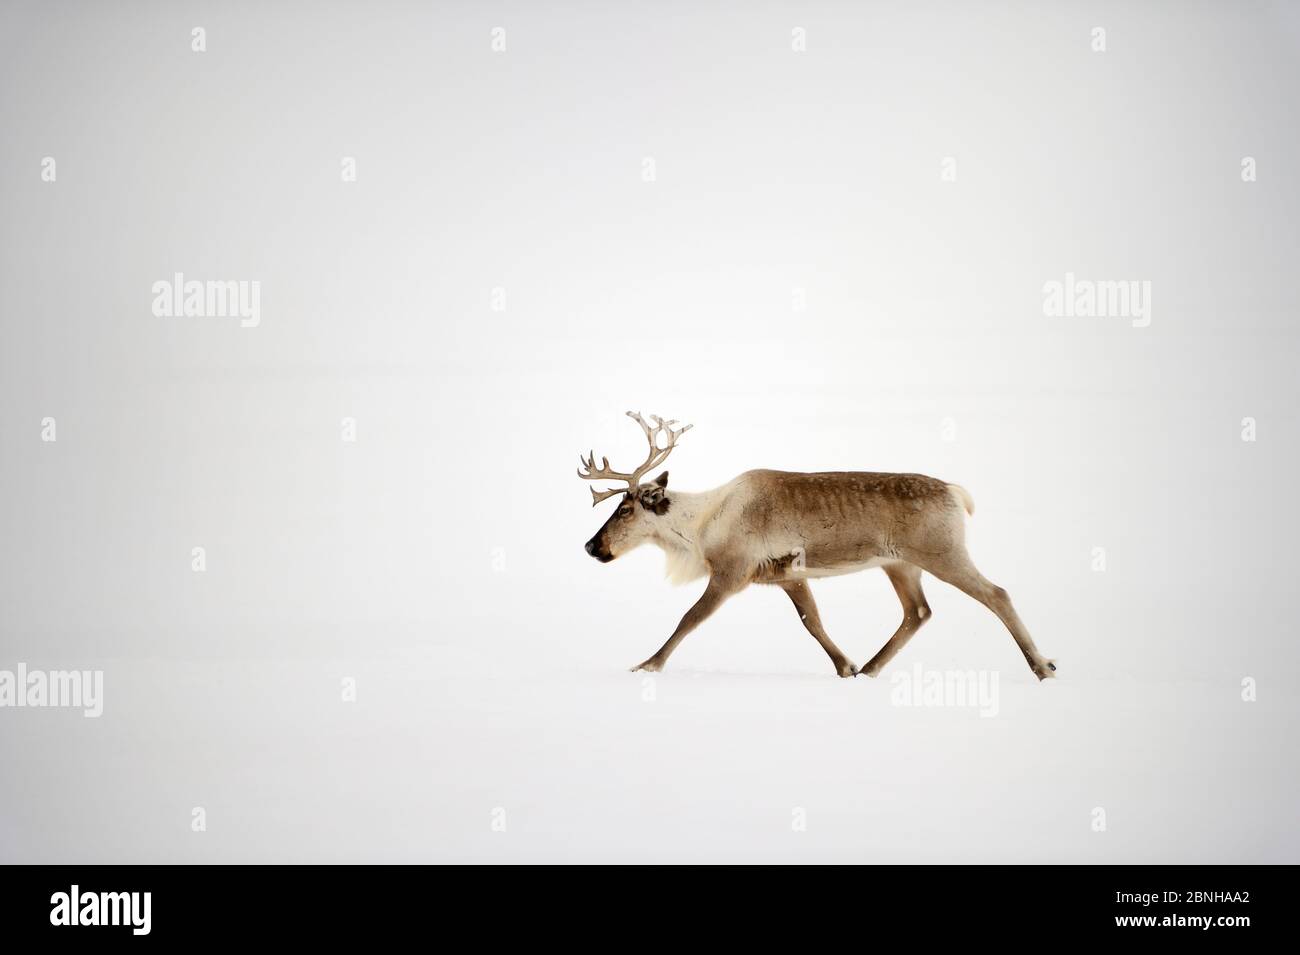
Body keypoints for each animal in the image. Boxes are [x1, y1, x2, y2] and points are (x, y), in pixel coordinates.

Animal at [579, 412, 1057, 681]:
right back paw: (870, 668)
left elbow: (689, 618)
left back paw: (1043, 666)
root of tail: (957, 493)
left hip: (942, 552)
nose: (590, 546)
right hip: (900, 564)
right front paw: (846, 666)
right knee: (918, 612)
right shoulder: (787, 575)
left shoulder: (732, 571)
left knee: (997, 594)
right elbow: (813, 622)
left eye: (625, 509)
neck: (701, 527)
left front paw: (647, 665)